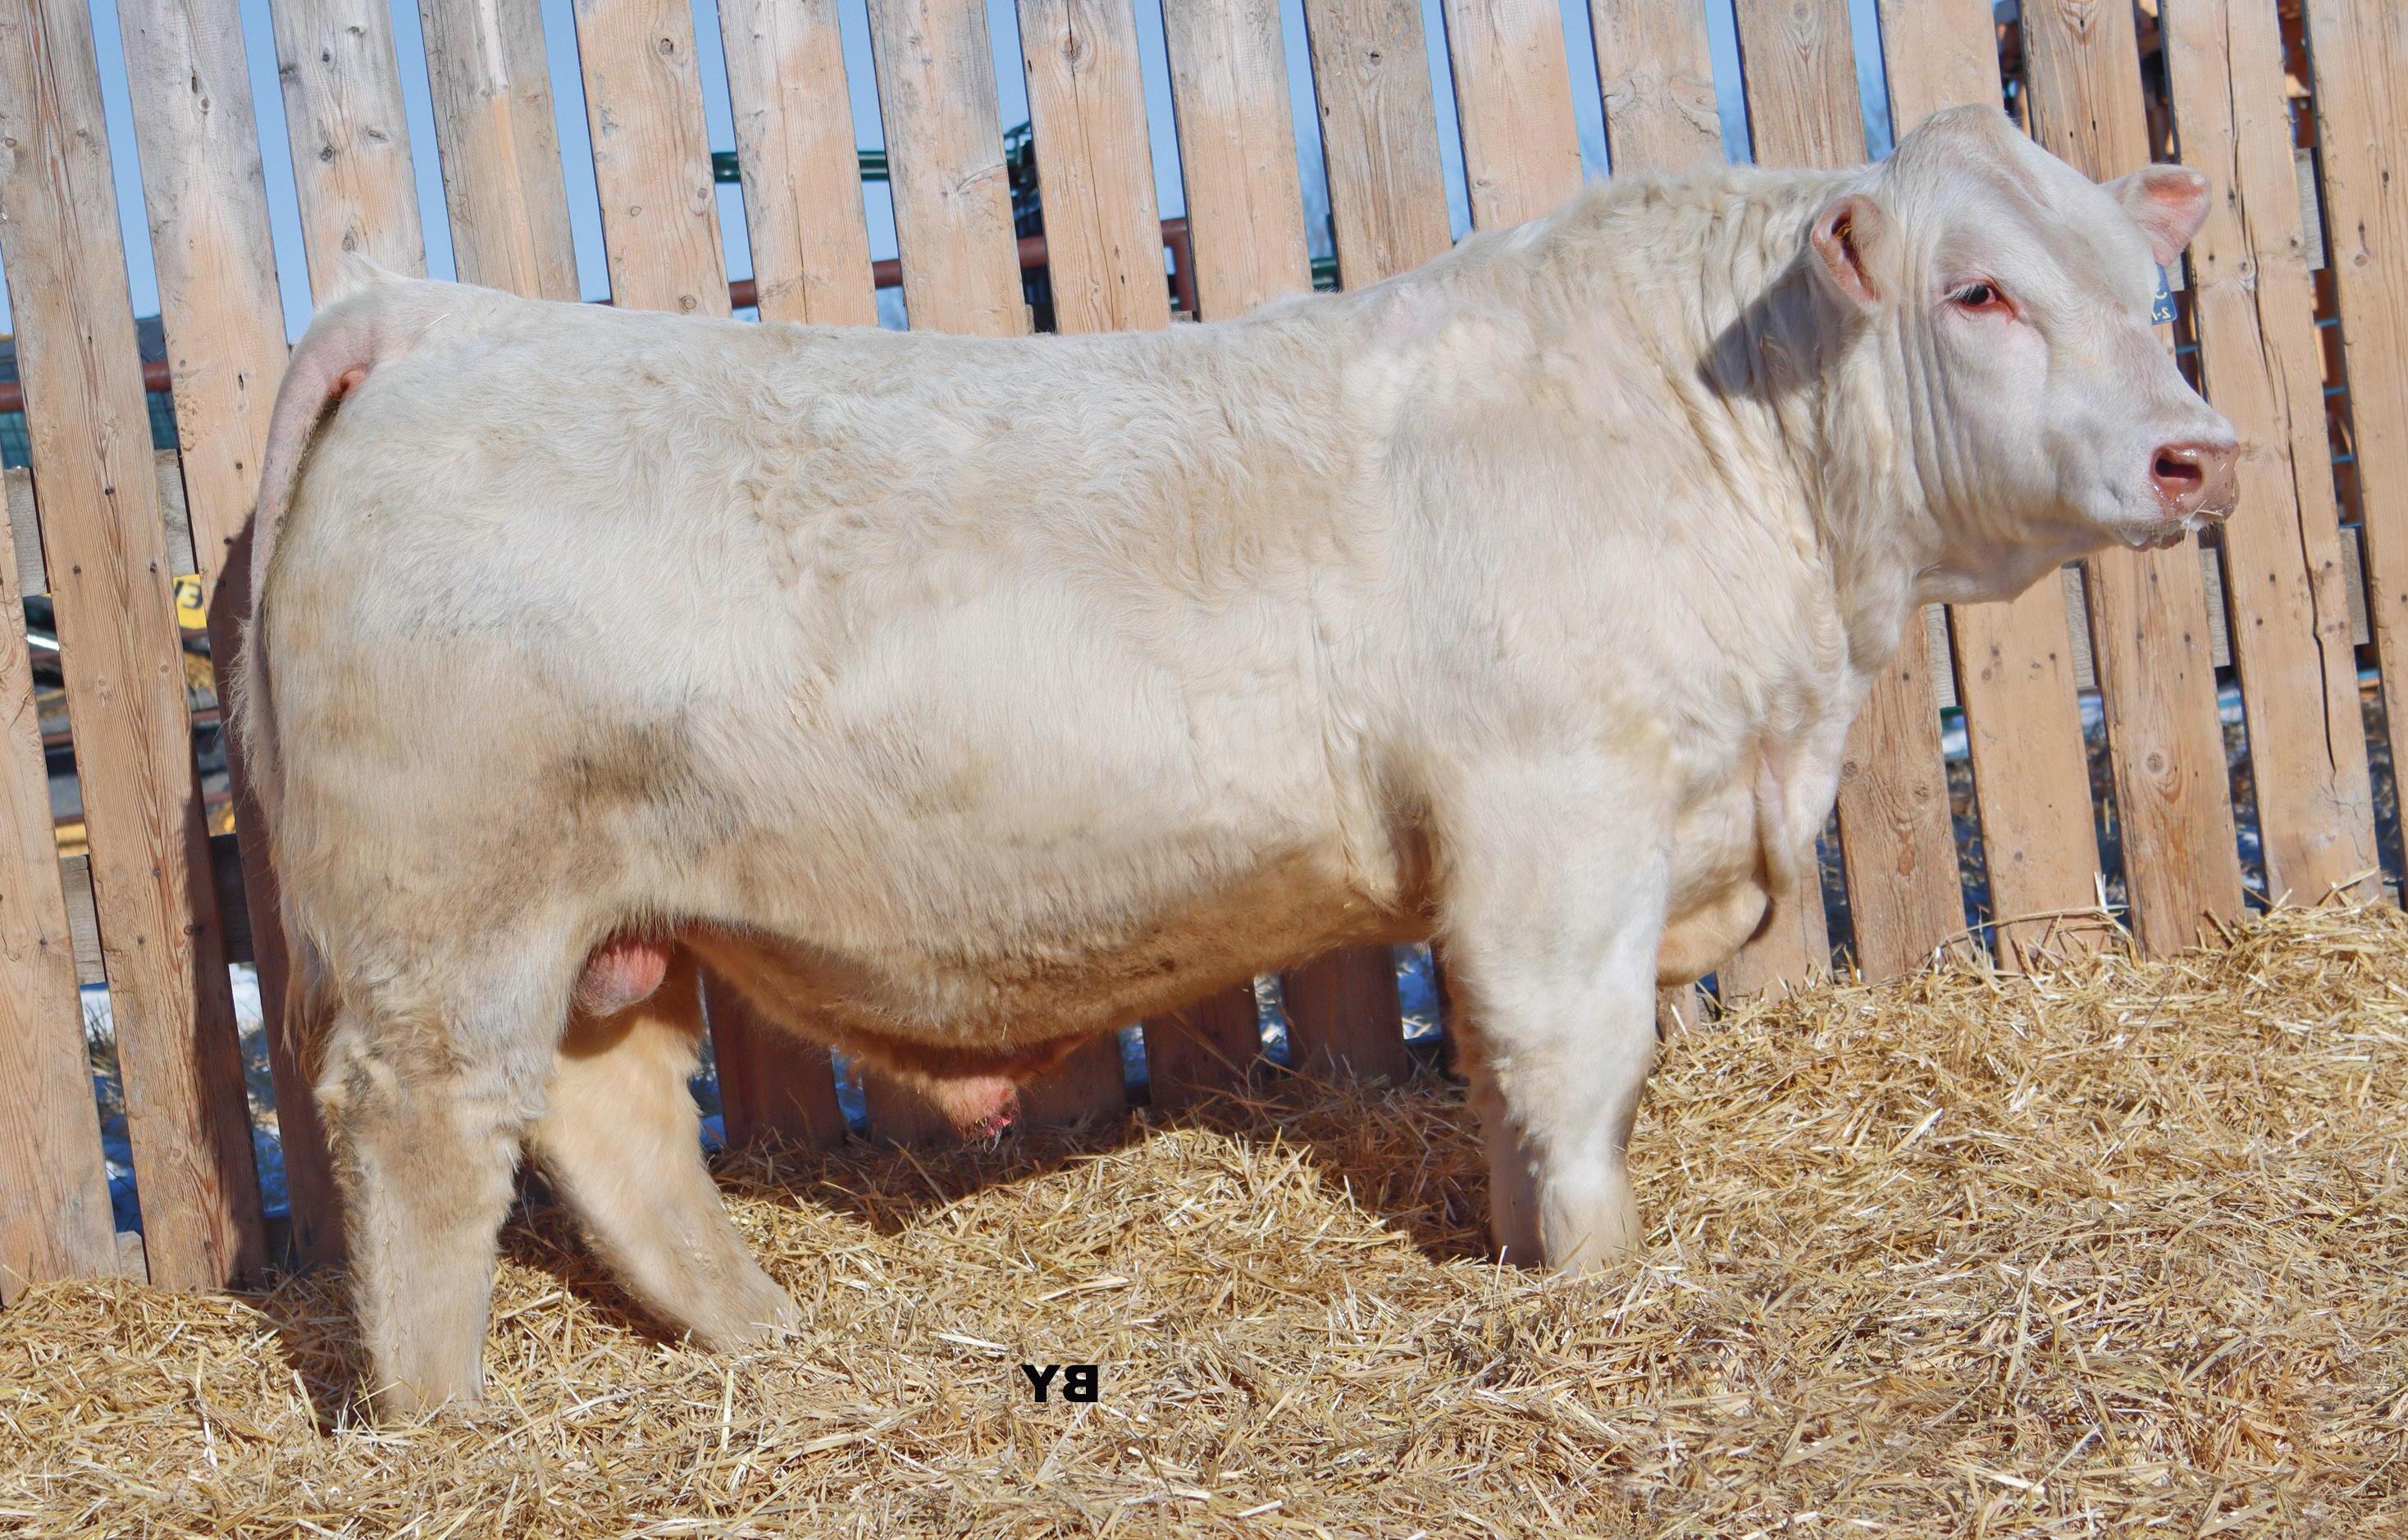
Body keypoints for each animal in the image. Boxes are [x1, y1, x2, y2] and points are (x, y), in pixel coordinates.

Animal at [236, 105, 2236, 1416]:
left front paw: (1529, 1251)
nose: (2196, 451)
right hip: (450, 911)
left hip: (602, 920)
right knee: (425, 1134)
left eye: (2143, 284)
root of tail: (435, 312)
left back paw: (765, 1338)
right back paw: (443, 1423)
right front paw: (1595, 1284)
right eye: (1980, 294)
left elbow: (1507, 1082)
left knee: (616, 1124)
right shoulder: (1559, 821)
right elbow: (1569, 1057)